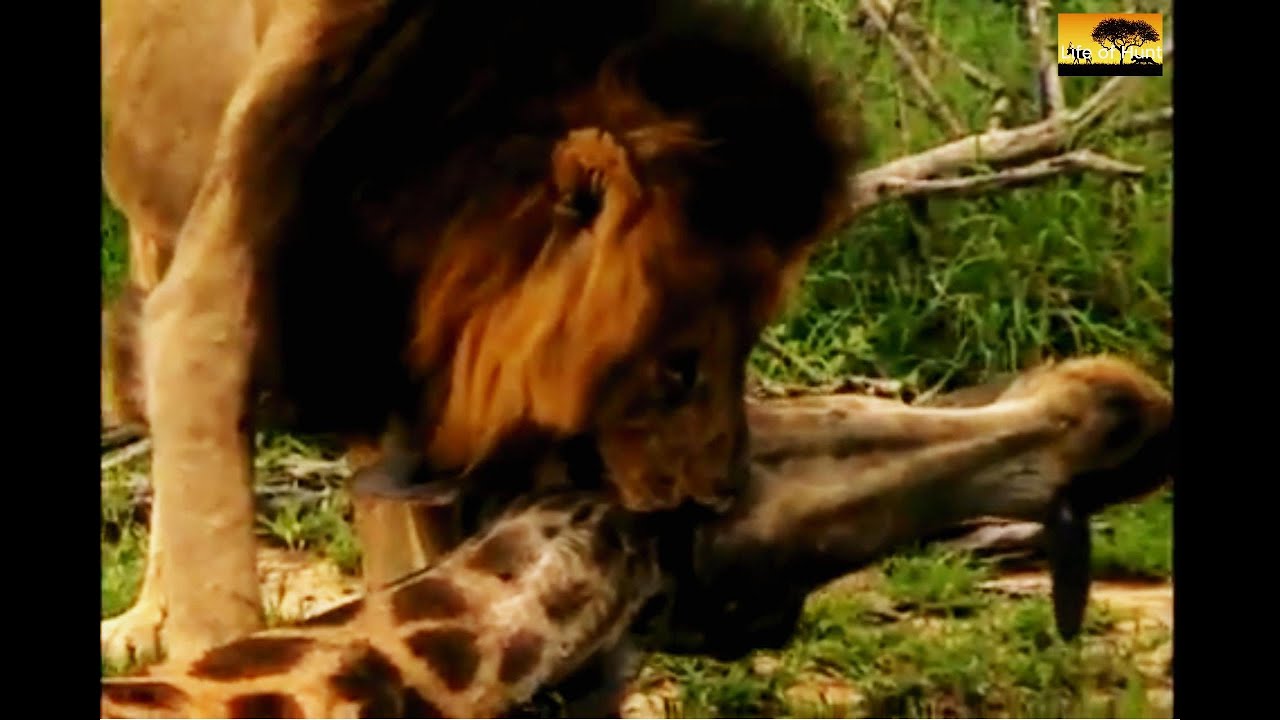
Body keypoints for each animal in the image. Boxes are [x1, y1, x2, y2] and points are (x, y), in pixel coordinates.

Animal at [100, 0, 859, 665]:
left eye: (749, 344)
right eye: (679, 366)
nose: (728, 489)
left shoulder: (392, 360)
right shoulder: (208, 313)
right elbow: (219, 585)